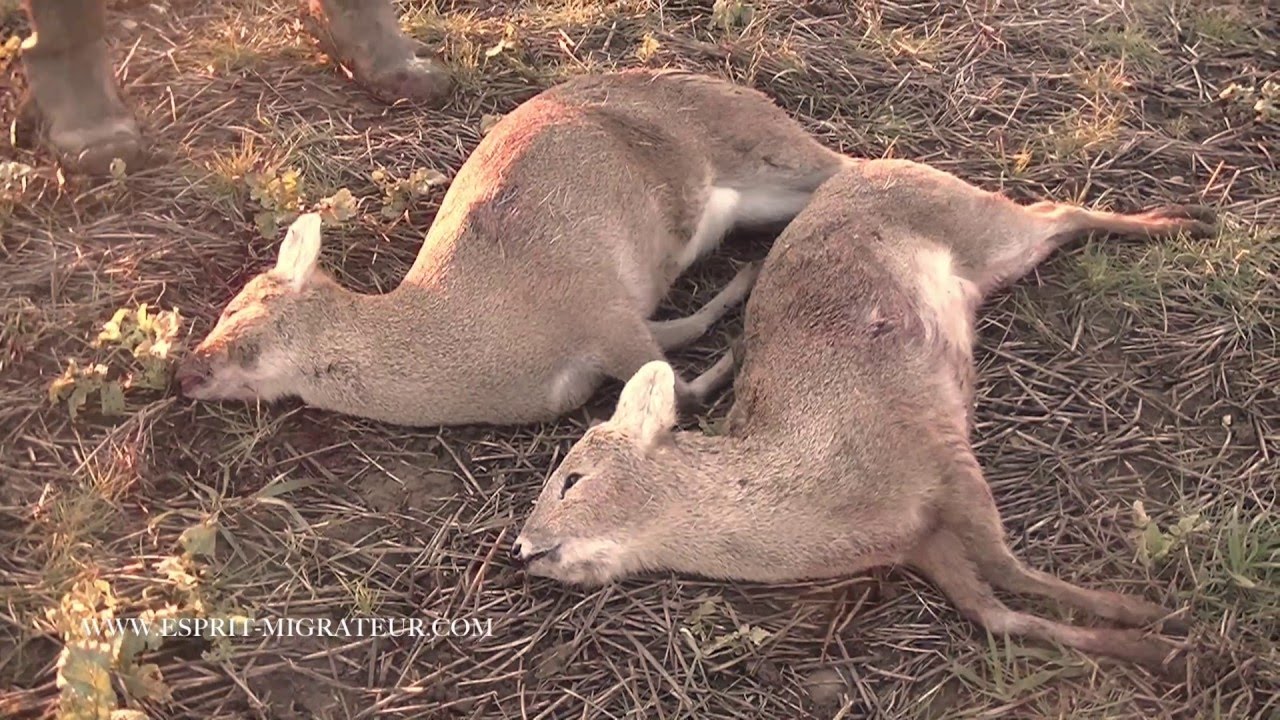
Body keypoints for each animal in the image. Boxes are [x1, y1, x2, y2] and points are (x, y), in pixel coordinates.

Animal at [176, 69, 853, 427]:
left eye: (233, 310)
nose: (189, 371)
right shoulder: (617, 324)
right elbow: (682, 337)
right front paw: (742, 293)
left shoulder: (599, 306)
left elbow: (677, 385)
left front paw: (738, 344)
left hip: (766, 151)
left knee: (853, 165)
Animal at [513, 158, 1217, 672]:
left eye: (571, 479)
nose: (521, 548)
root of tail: (870, 162)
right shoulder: (919, 542)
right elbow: (994, 613)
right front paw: (1153, 647)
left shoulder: (941, 454)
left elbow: (1006, 567)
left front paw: (1154, 616)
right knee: (1056, 217)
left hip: (982, 228)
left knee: (1057, 209)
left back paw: (1188, 220)